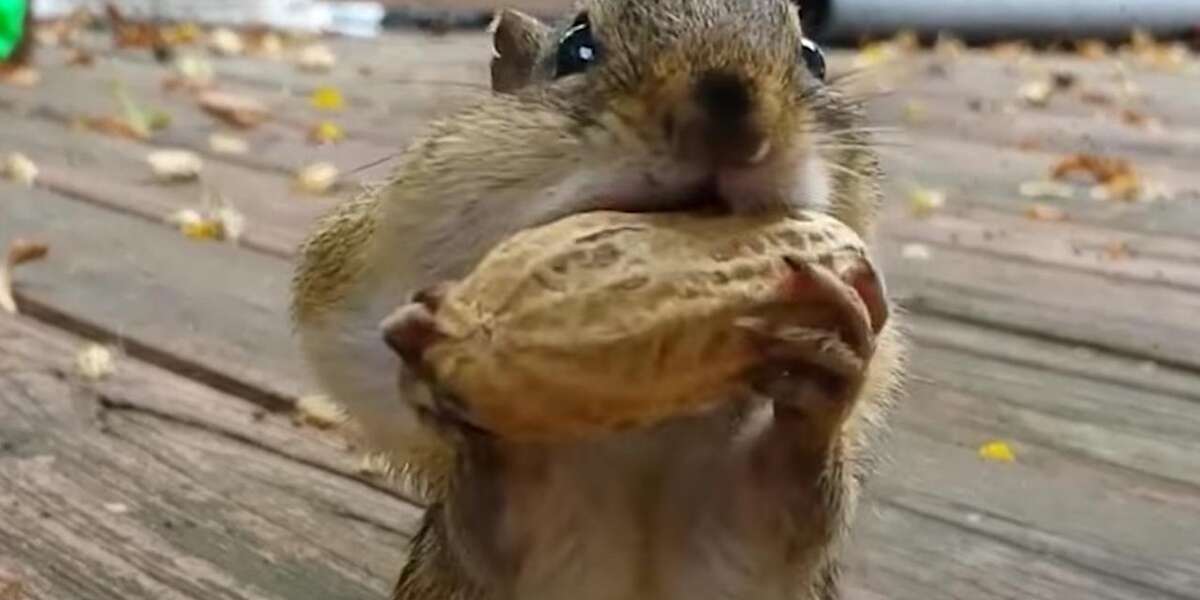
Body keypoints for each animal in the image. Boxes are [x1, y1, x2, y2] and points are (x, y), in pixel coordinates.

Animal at [290, 1, 906, 599]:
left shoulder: (736, 530)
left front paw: (831, 357)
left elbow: (786, 509)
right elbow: (494, 523)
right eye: (575, 48)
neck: (650, 427)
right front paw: (465, 408)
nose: (730, 105)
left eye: (813, 56)